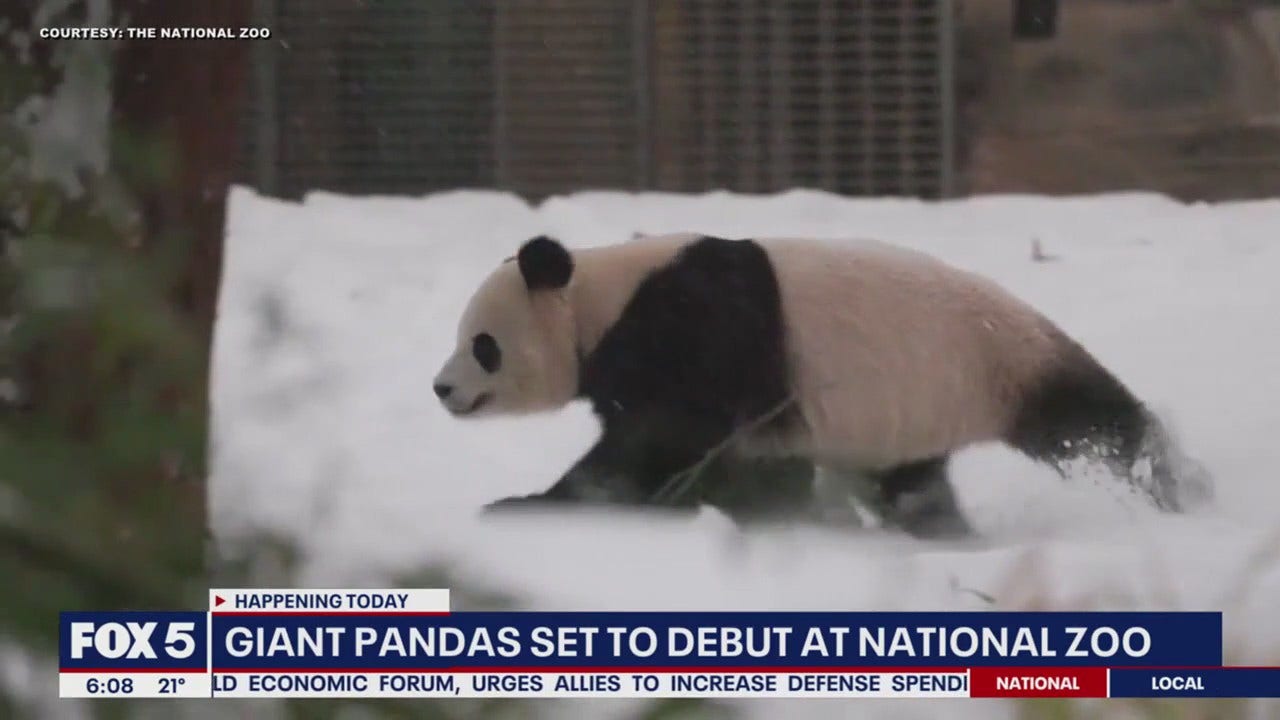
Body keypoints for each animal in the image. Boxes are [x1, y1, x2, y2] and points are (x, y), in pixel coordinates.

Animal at [432, 233, 1210, 537]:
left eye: (482, 345)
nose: (441, 390)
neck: (597, 297)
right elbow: (725, 456)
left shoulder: (692, 328)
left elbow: (661, 438)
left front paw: (531, 504)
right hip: (917, 412)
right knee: (913, 481)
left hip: (1000, 364)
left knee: (1094, 423)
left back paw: (1178, 489)